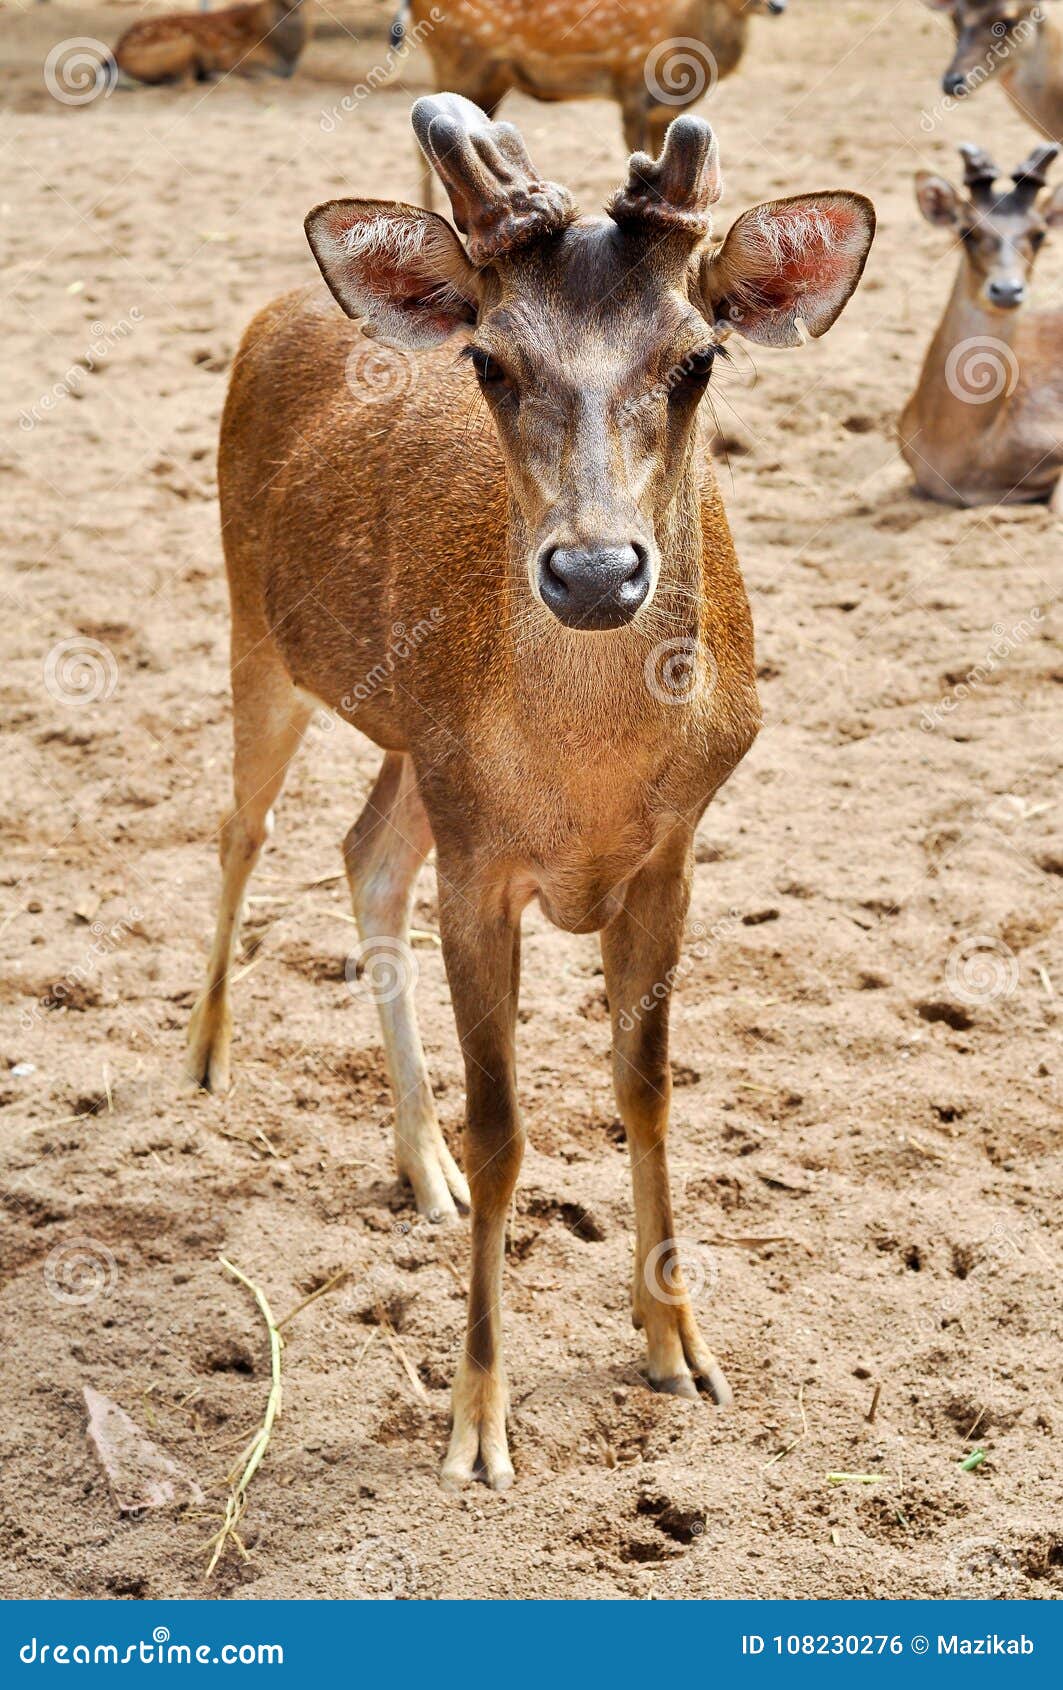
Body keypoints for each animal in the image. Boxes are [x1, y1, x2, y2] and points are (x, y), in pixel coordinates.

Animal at [186, 93, 873, 1488]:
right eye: (492, 365)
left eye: (698, 356)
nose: (596, 570)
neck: (586, 778)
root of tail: (285, 306)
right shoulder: (481, 864)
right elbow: (509, 1128)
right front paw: (477, 1422)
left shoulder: (671, 852)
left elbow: (645, 1086)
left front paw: (679, 1348)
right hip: (258, 630)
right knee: (247, 823)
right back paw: (209, 1059)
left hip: (412, 745)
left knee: (361, 851)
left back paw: (419, 1167)